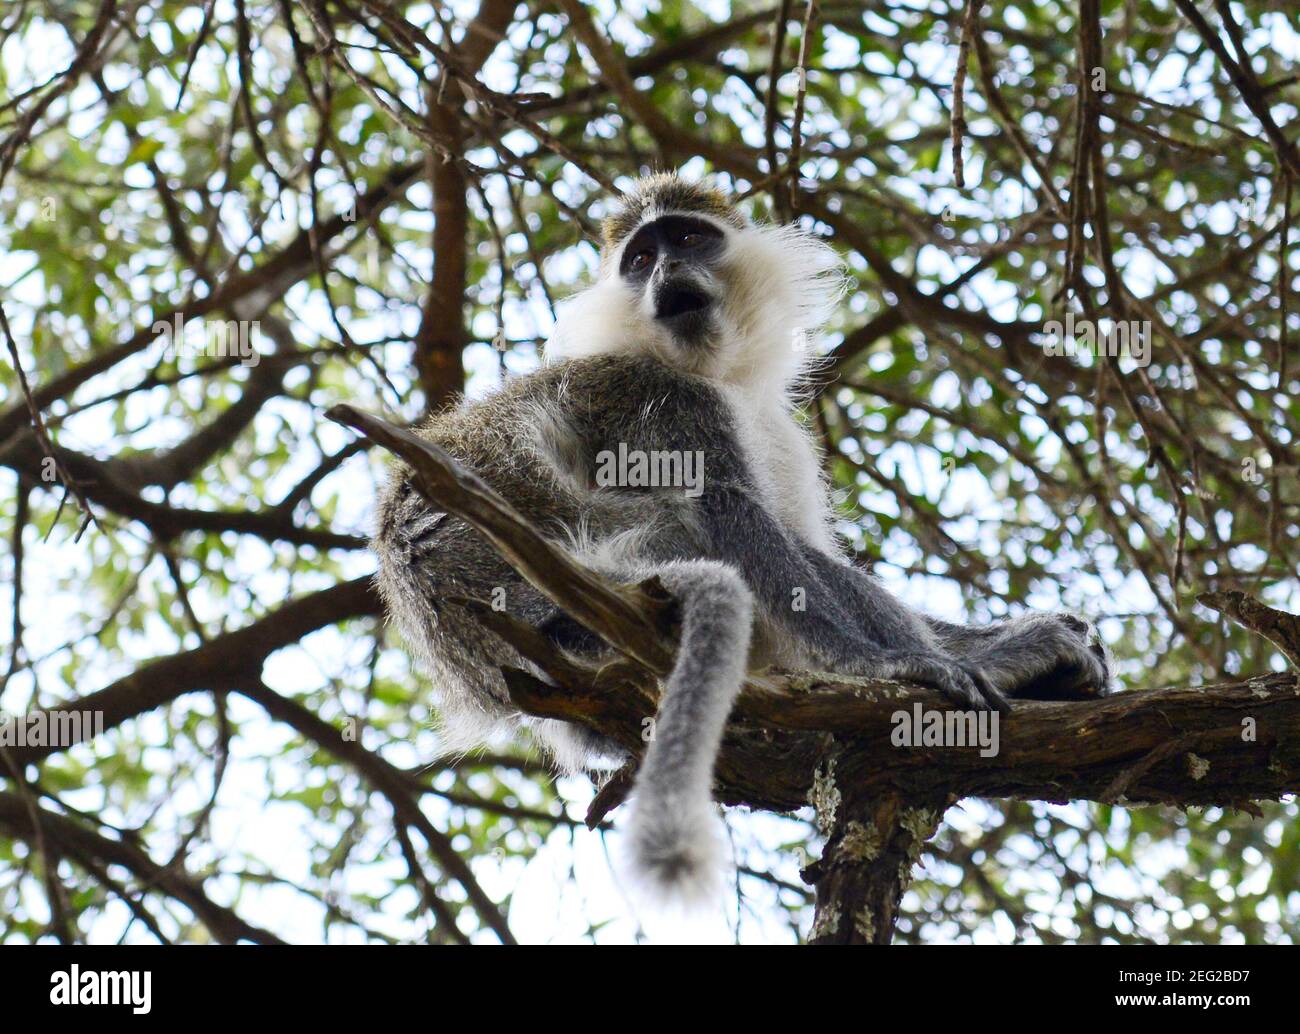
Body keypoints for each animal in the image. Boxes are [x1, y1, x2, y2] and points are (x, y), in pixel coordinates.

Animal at [374, 172, 1111, 905]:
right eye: (641, 258)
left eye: (688, 238)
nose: (666, 271)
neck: (708, 371)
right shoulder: (660, 401)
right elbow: (737, 517)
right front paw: (890, 666)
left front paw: (1017, 640)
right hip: (606, 558)